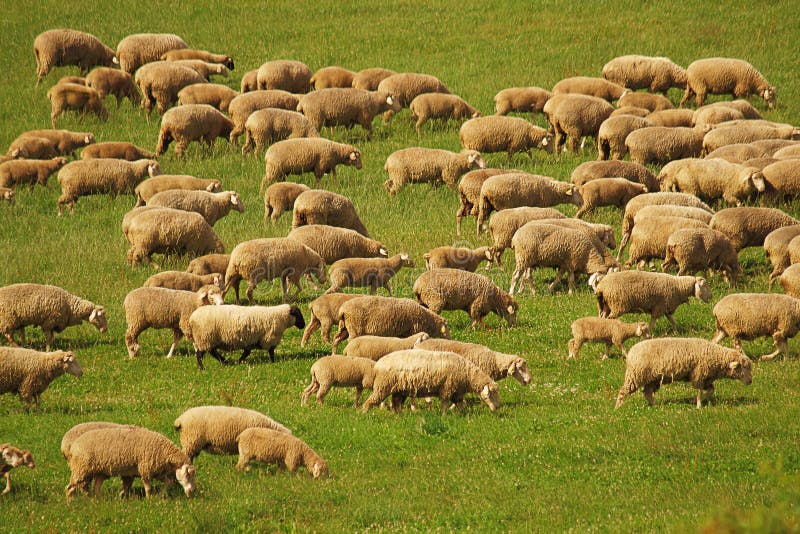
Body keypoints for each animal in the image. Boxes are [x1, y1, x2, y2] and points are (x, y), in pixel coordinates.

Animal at [64, 426, 195, 499]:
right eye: (187, 474)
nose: (191, 492)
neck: (165, 453)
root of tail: (74, 445)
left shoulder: (157, 471)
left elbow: (167, 482)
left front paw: (160, 495)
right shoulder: (146, 469)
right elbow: (148, 488)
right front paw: (149, 500)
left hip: (99, 471)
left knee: (96, 488)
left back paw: (99, 501)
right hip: (81, 469)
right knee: (70, 488)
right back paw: (71, 503)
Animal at [361, 349, 500, 415]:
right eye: (492, 393)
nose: (497, 408)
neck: (468, 374)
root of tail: (378, 364)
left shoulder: (456, 391)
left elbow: (460, 404)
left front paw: (460, 414)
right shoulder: (447, 388)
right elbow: (445, 404)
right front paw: (444, 416)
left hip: (399, 389)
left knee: (395, 402)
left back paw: (399, 416)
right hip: (383, 386)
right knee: (371, 401)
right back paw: (364, 413)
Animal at [615, 338, 752, 409]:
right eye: (744, 367)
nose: (750, 381)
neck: (717, 357)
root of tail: (631, 353)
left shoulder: (706, 378)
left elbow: (711, 390)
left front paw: (702, 400)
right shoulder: (698, 374)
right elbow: (699, 391)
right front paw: (698, 405)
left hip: (652, 379)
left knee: (647, 392)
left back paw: (656, 405)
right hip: (636, 375)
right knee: (623, 391)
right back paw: (618, 407)